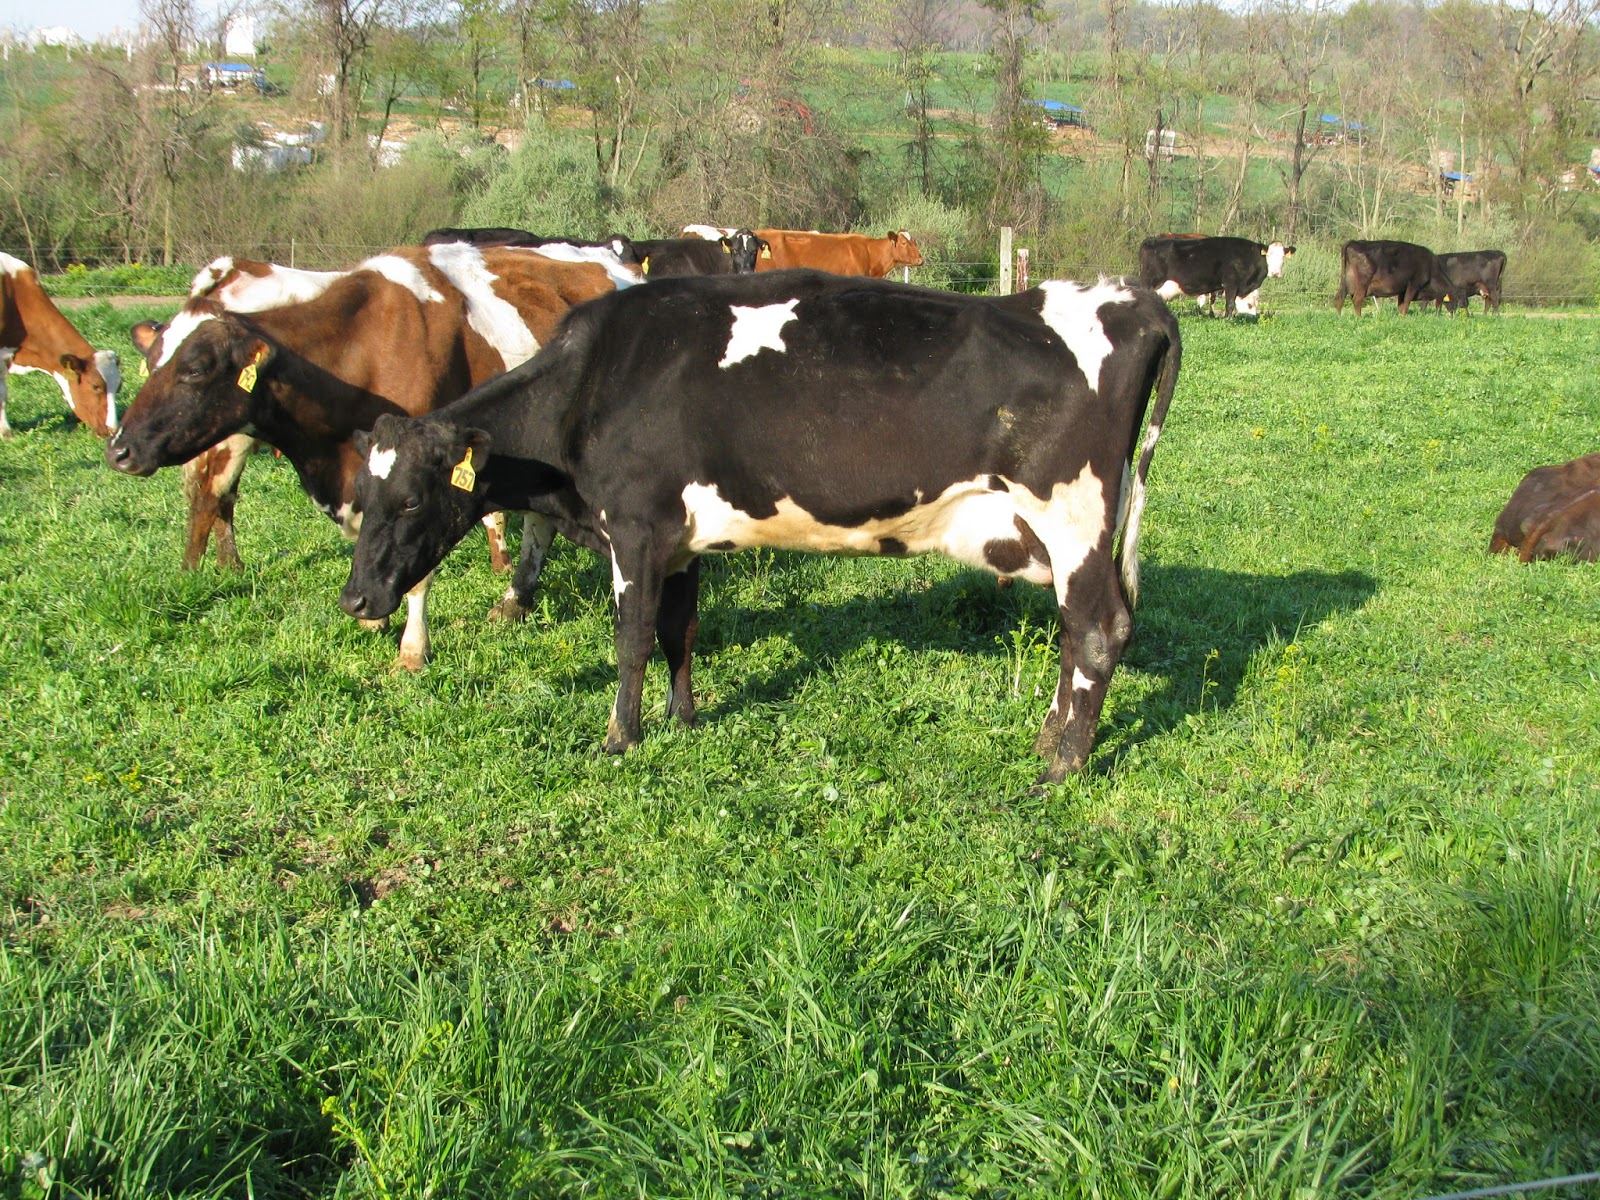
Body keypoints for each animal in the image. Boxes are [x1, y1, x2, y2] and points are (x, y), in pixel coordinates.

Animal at [106, 245, 624, 669]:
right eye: (149, 363)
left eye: (195, 368)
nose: (118, 449)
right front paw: (372, 620)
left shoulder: (423, 485)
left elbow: (417, 573)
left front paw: (412, 651)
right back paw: (515, 601)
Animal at [337, 270, 1182, 784]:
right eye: (361, 495)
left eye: (409, 499)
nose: (355, 599)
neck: (593, 383)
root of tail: (1125, 296)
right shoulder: (680, 542)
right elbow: (678, 630)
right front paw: (681, 720)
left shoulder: (634, 527)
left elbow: (631, 639)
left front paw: (620, 739)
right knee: (1074, 634)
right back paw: (1048, 739)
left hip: (1073, 520)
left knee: (1098, 630)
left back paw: (1061, 768)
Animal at [1137, 236, 1293, 318]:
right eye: (1269, 255)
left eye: (1283, 257)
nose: (1275, 273)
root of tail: (1151, 240)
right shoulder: (1231, 283)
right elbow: (1229, 304)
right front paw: (1228, 319)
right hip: (1149, 281)